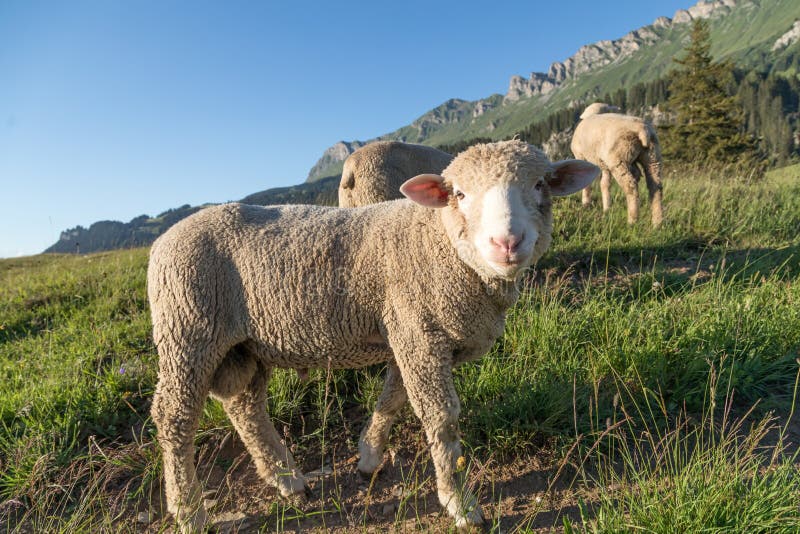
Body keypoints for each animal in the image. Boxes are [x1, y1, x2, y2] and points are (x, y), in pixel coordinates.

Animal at [147, 140, 599, 531]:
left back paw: (288, 479)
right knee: (174, 419)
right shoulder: (419, 330)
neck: (437, 240)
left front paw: (369, 456)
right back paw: (188, 511)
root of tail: (161, 241)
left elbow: (393, 397)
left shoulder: (409, 330)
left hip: (243, 345)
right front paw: (460, 503)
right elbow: (442, 418)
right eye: (460, 194)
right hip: (187, 332)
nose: (506, 242)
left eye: (540, 184)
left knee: (245, 408)